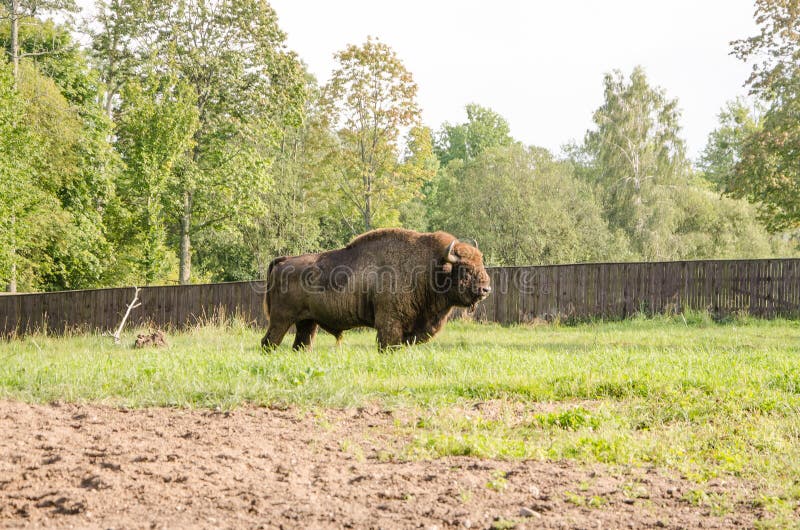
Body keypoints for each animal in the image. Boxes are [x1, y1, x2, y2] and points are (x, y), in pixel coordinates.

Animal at [260, 228, 491, 350]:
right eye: (465, 269)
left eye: (480, 262)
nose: (486, 289)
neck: (429, 267)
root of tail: (283, 261)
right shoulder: (389, 323)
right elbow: (388, 345)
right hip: (281, 319)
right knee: (269, 341)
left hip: (307, 322)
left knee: (301, 343)